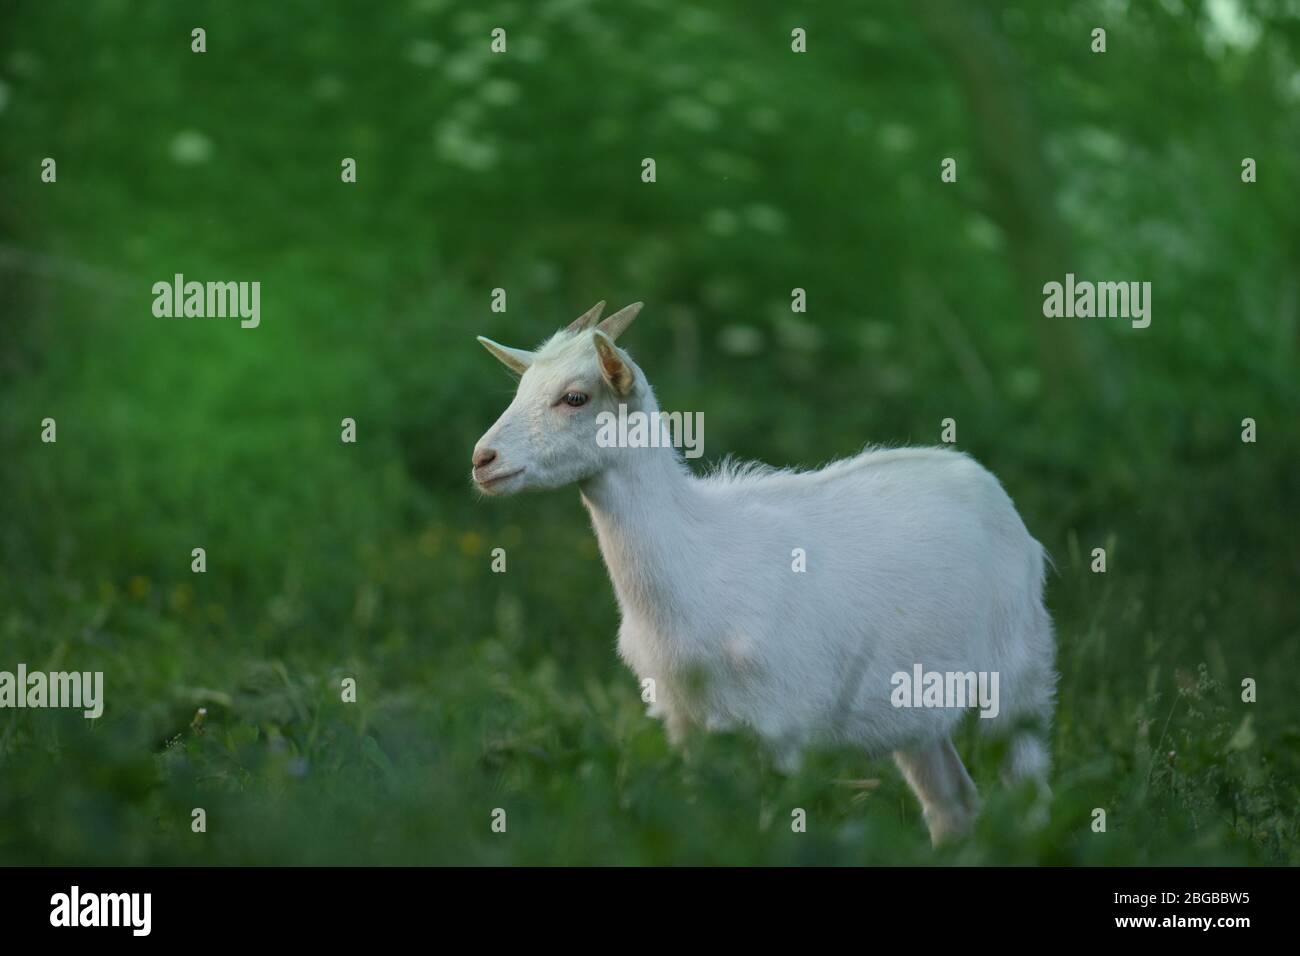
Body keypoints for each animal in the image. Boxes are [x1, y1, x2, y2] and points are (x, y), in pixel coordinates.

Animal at [471, 301, 1057, 845]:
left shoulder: (782, 729)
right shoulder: (689, 727)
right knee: (952, 804)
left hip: (1017, 679)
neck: (696, 553)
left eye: (575, 397)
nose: (482, 459)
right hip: (919, 710)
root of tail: (987, 486)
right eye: (521, 387)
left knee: (1029, 793)